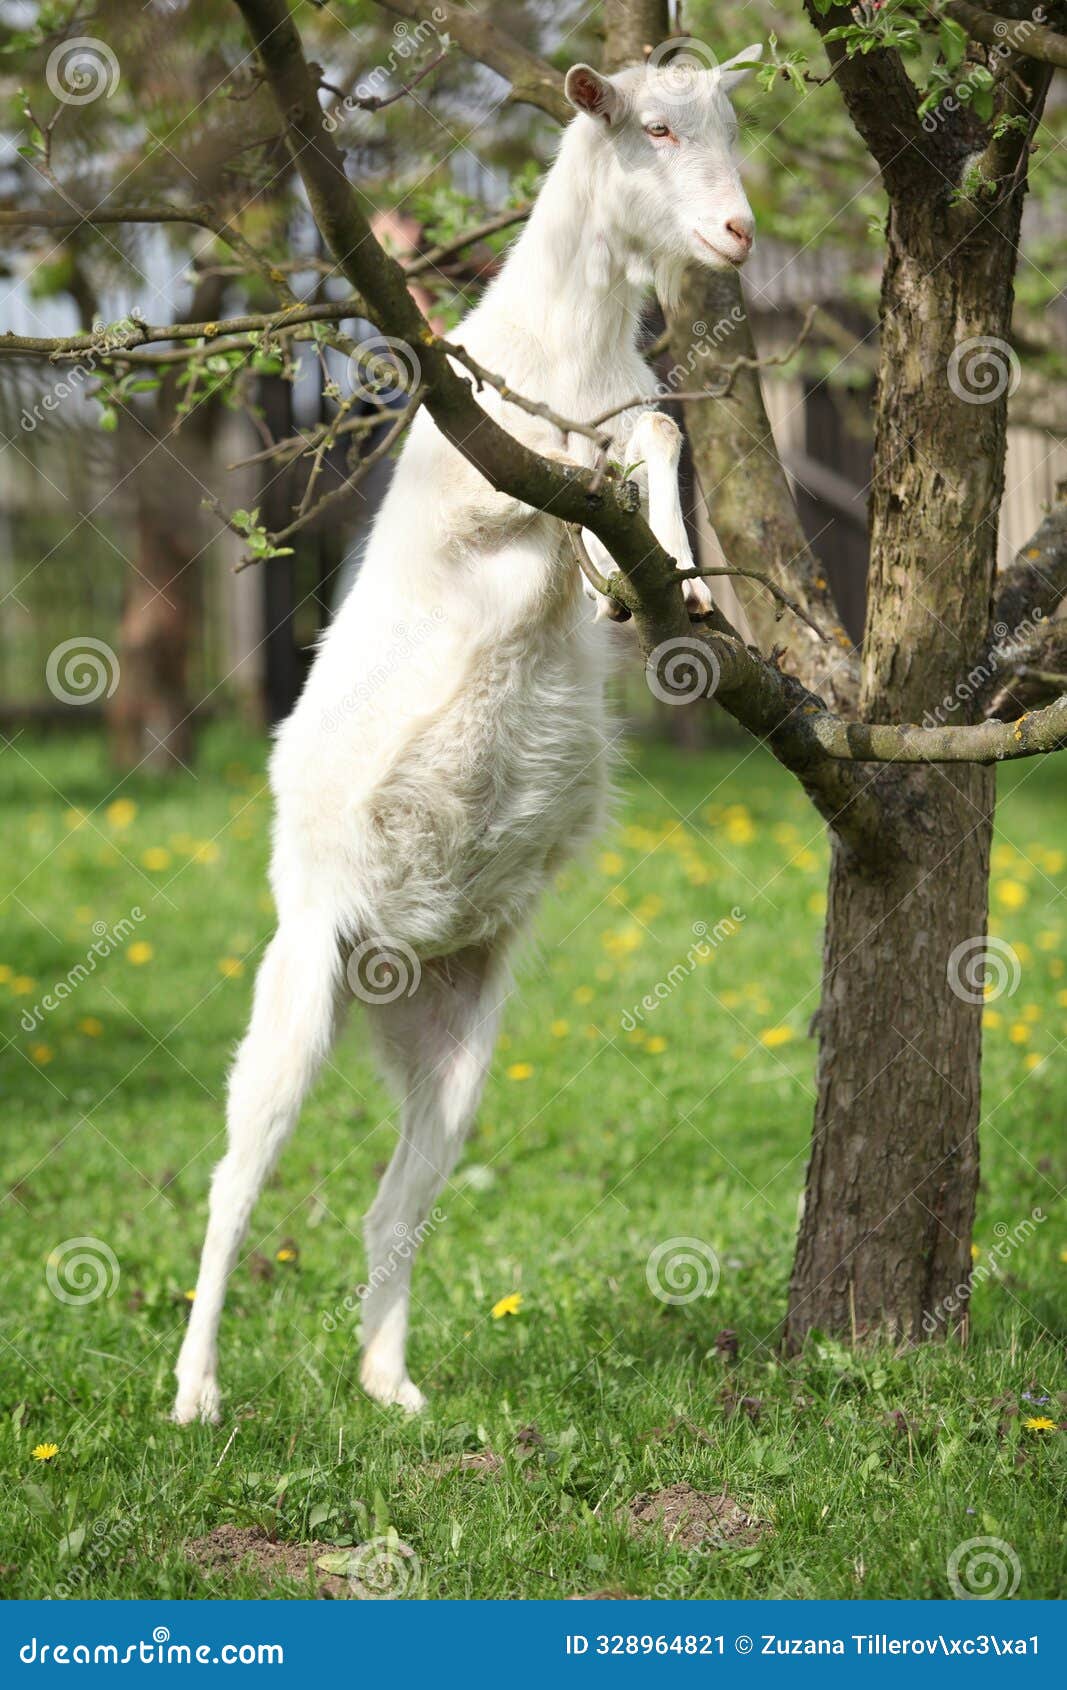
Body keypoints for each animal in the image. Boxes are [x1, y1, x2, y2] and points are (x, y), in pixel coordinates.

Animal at [173, 45, 762, 1423]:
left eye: (725, 123)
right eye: (653, 130)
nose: (737, 231)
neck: (567, 352)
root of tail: (392, 953)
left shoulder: (623, 414)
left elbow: (658, 431)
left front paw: (671, 581)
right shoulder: (481, 472)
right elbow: (586, 467)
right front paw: (616, 551)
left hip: (453, 1029)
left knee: (398, 1197)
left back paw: (389, 1382)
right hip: (298, 965)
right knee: (234, 1175)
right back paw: (195, 1391)